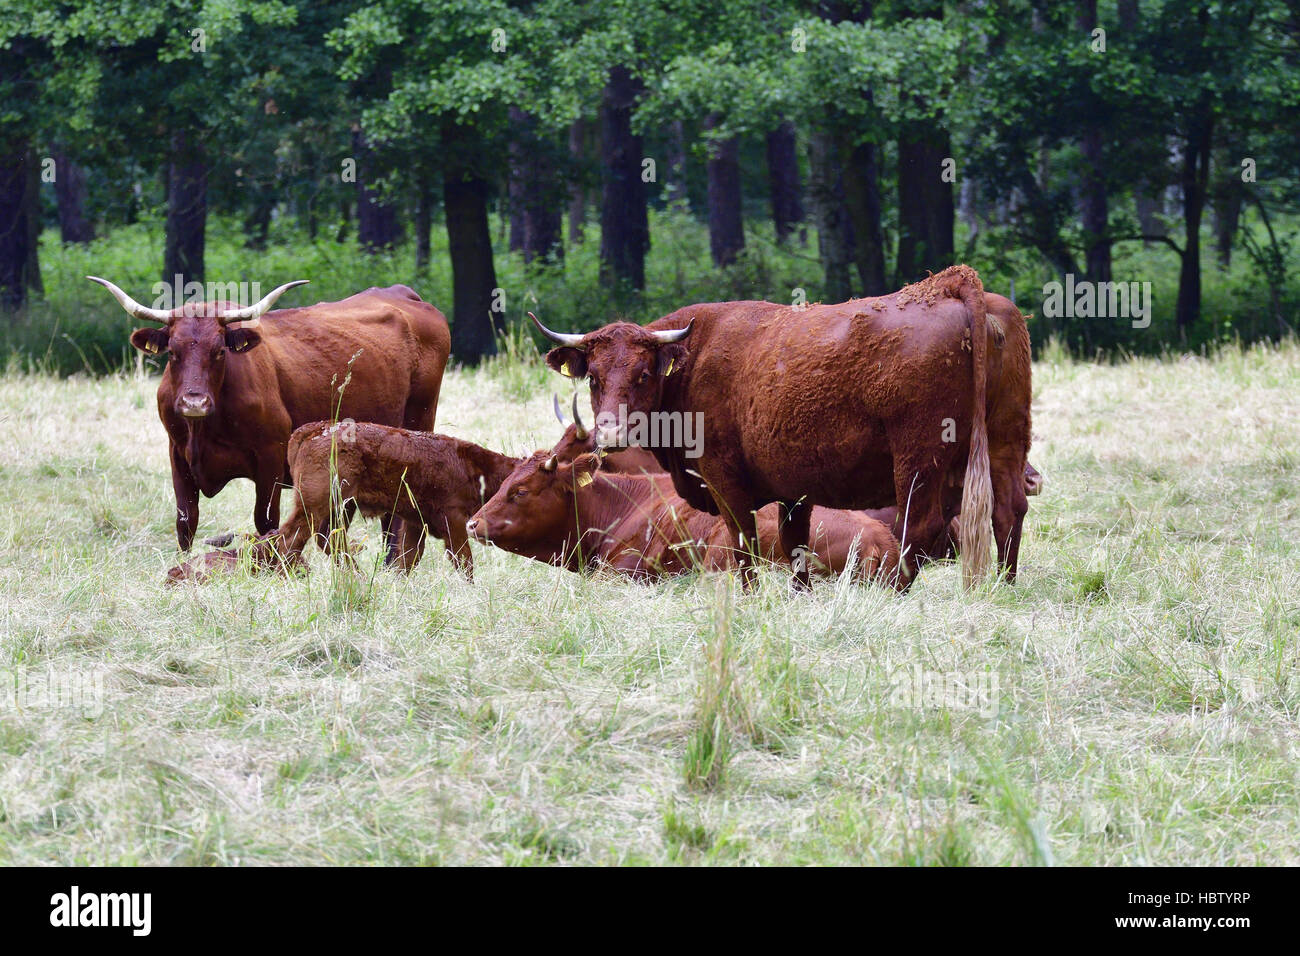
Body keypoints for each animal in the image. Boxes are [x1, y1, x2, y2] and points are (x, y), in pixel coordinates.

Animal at [89, 277, 450, 559]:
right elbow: (185, 522)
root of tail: (404, 295)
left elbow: (266, 522)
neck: (204, 429)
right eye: (173, 353)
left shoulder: (270, 458)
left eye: (219, 351)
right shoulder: (178, 454)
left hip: (417, 426)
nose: (194, 401)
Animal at [529, 264, 1032, 590]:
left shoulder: (725, 481)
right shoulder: (796, 491)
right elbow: (795, 547)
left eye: (644, 374)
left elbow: (744, 545)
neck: (696, 357)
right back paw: (1002, 587)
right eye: (594, 376)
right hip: (1006, 440)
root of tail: (949, 285)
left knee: (920, 526)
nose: (611, 434)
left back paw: (895, 592)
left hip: (918, 457)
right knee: (1008, 509)